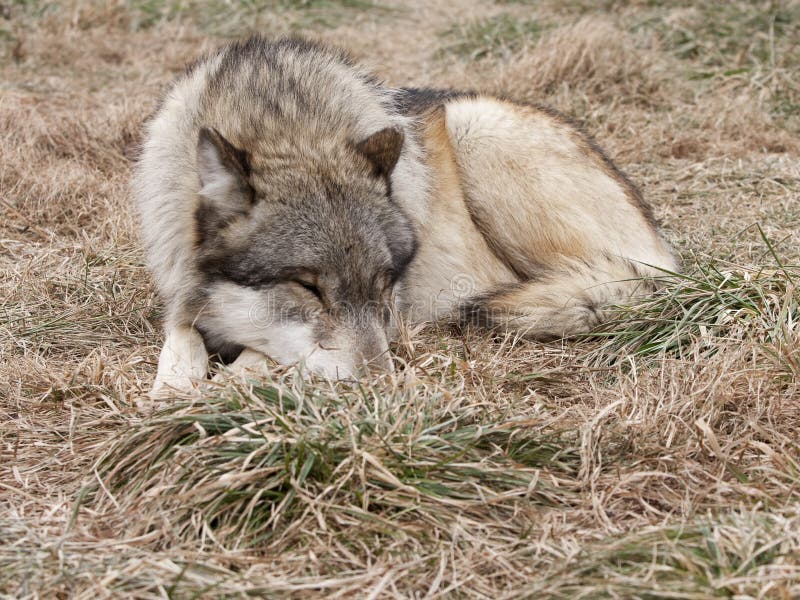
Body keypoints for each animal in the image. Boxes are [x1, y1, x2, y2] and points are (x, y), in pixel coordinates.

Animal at [133, 36, 676, 397]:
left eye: (382, 282)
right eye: (307, 288)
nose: (383, 386)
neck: (285, 123)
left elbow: (261, 351)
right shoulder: (179, 283)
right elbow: (179, 338)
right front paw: (173, 391)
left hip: (473, 124)